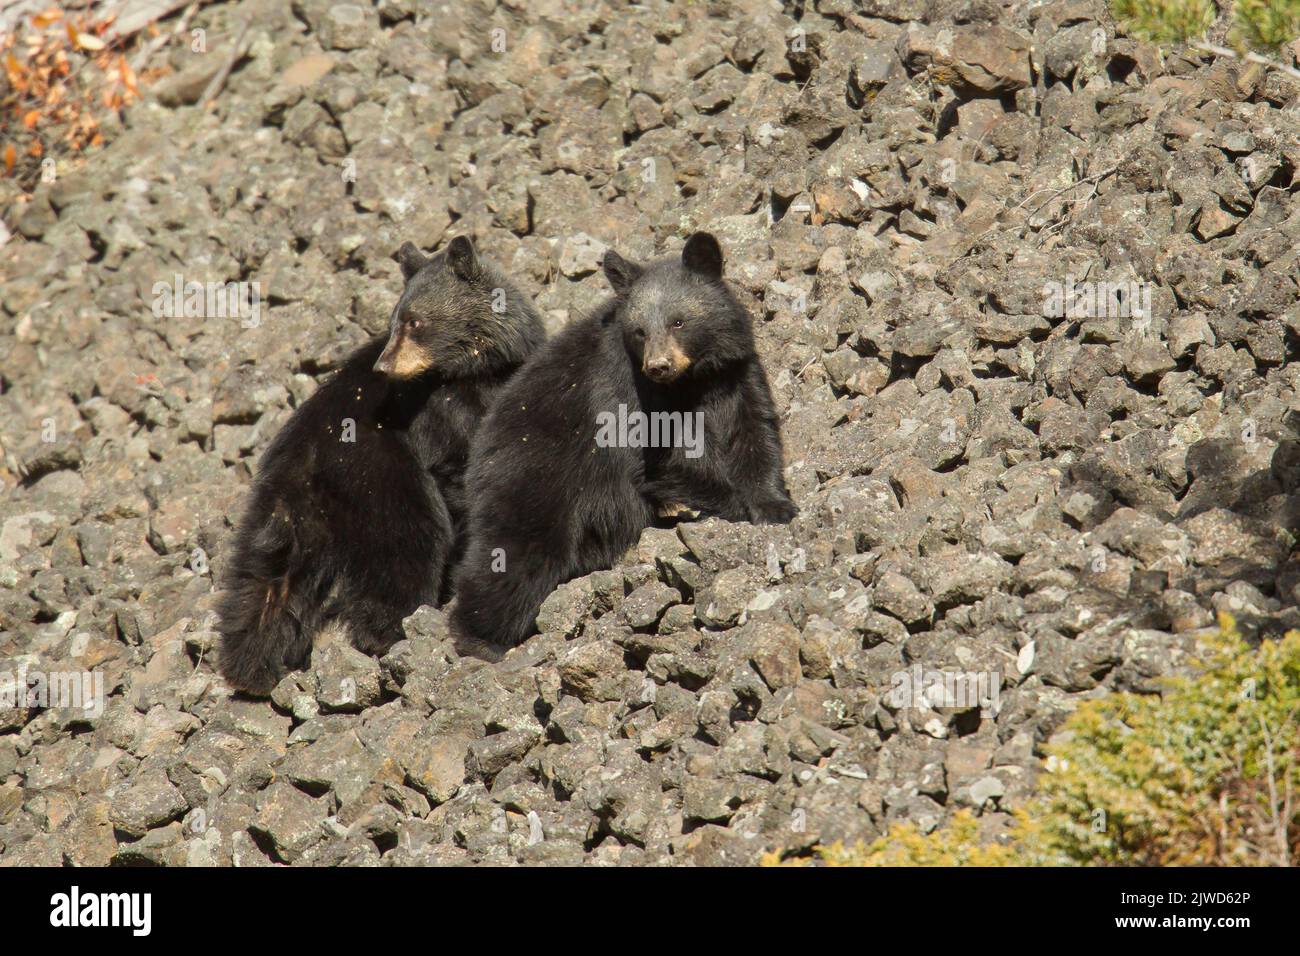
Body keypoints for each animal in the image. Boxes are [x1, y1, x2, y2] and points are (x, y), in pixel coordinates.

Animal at [216, 236, 545, 694]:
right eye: (394, 321)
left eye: (415, 321)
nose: (384, 365)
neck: (480, 365)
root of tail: (306, 460)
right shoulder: (440, 413)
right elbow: (461, 463)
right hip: (383, 479)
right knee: (411, 543)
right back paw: (396, 633)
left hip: (295, 514)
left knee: (268, 575)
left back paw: (252, 660)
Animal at [451, 231, 795, 653]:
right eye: (639, 331)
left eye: (679, 321)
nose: (658, 366)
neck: (693, 381)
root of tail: (477, 456)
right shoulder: (628, 397)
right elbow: (668, 459)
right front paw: (731, 502)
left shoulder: (736, 374)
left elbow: (756, 430)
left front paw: (774, 506)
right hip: (531, 483)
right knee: (512, 557)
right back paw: (480, 639)